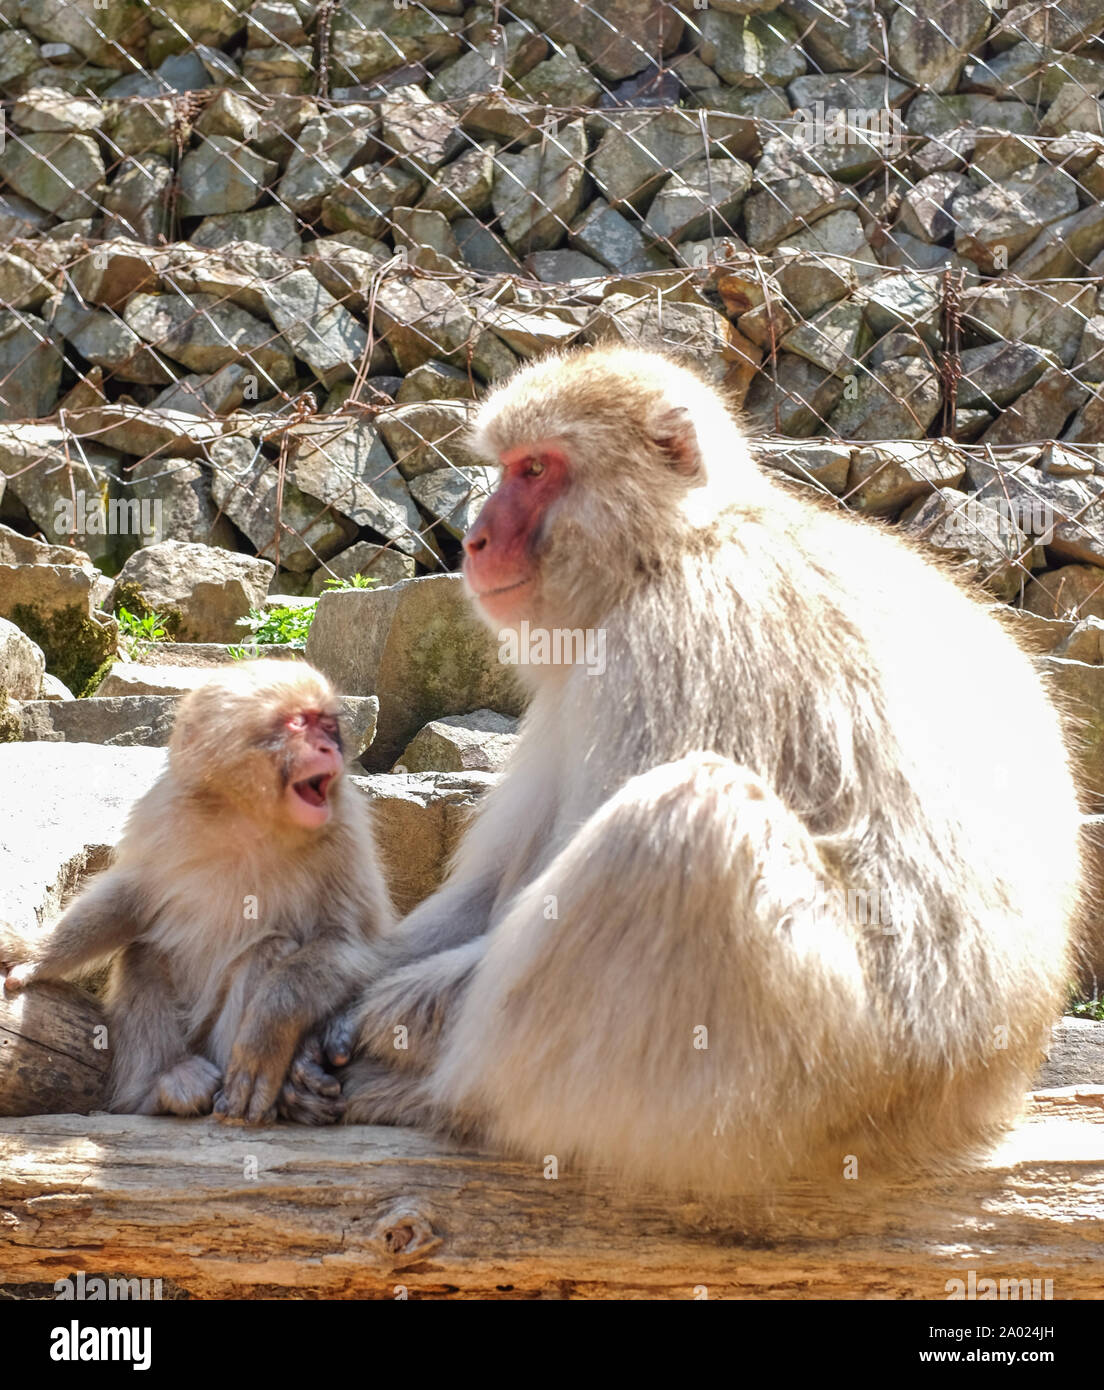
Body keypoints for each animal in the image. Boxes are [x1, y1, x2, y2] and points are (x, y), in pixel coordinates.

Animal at [1, 660, 394, 1125]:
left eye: (329, 726)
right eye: (300, 723)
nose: (330, 747)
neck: (248, 818)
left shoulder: (346, 835)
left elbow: (351, 945)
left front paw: (267, 1033)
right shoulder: (159, 816)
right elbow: (129, 899)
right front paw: (36, 953)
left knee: (270, 950)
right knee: (144, 954)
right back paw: (161, 1087)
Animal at [336, 344, 1085, 1191]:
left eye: (534, 469)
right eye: (506, 467)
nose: (475, 540)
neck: (669, 548)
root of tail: (979, 1096)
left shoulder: (671, 643)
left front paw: (362, 1018)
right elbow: (494, 888)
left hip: (827, 1071)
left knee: (690, 821)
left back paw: (449, 1097)